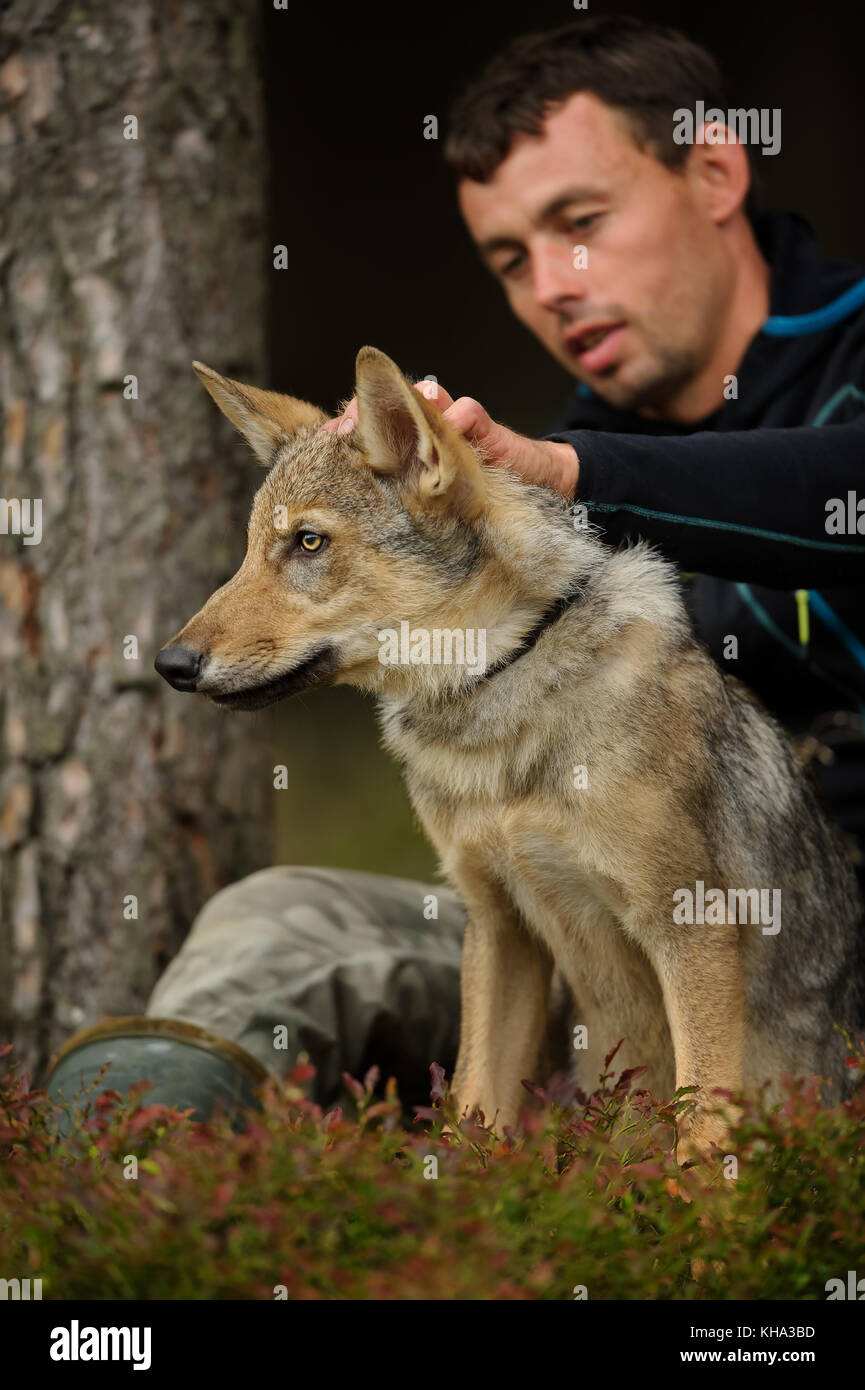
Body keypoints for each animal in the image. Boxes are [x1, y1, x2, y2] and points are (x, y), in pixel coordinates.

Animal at [155, 347, 863, 1152]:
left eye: (308, 542)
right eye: (248, 551)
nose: (169, 664)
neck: (498, 711)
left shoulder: (690, 929)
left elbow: (701, 1132)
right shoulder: (497, 924)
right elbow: (470, 1107)